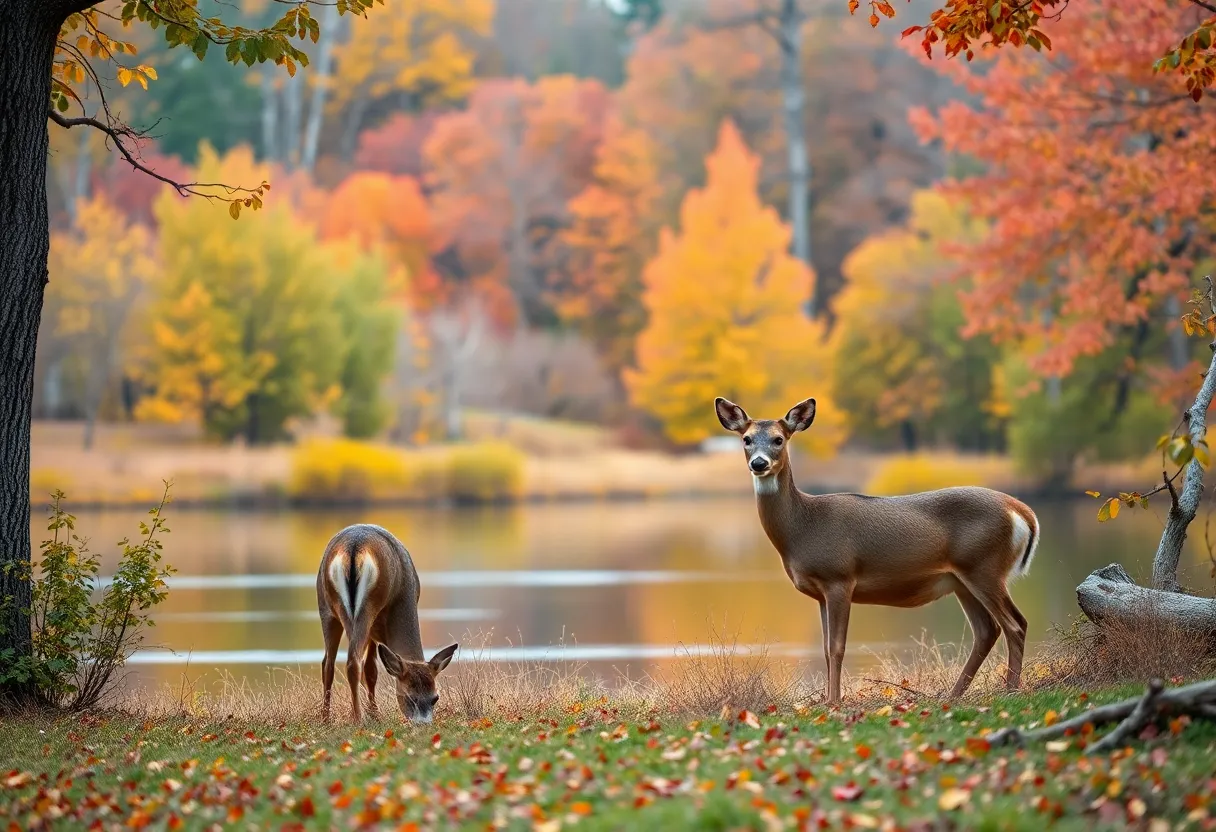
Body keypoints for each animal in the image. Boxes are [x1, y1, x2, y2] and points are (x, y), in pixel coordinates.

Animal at [317, 523, 459, 723]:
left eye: (435, 698)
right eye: (409, 697)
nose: (423, 724)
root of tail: (353, 548)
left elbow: (369, 668)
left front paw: (374, 713)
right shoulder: (377, 626)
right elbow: (371, 669)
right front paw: (375, 715)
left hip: (327, 608)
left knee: (328, 662)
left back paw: (326, 718)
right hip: (368, 608)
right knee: (354, 661)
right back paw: (358, 718)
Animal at [714, 396, 1038, 704]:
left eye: (779, 439)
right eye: (746, 439)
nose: (758, 463)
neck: (803, 528)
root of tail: (1022, 511)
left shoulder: (840, 577)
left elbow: (837, 647)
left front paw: (834, 701)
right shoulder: (820, 592)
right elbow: (824, 647)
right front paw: (827, 699)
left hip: (985, 567)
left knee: (1015, 624)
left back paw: (1011, 689)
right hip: (961, 579)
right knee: (987, 630)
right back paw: (954, 694)